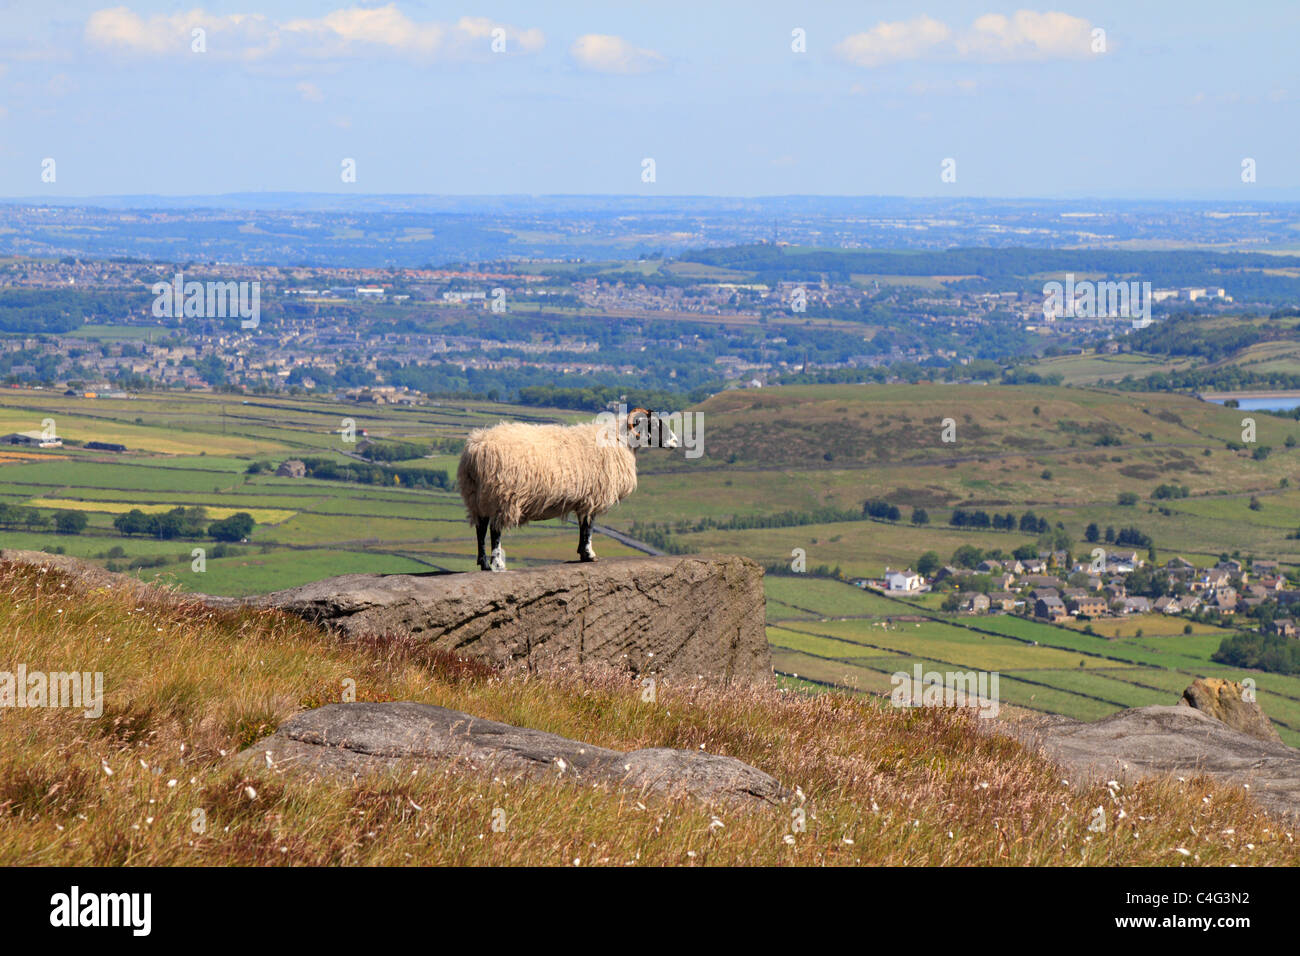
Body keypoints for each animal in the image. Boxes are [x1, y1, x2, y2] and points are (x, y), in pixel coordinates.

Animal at [458, 406, 679, 571]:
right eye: (654, 424)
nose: (676, 442)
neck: (620, 440)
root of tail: (476, 449)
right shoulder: (594, 495)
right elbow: (589, 527)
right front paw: (590, 555)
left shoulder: (586, 498)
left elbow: (583, 526)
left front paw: (582, 553)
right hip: (502, 495)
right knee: (495, 530)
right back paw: (497, 564)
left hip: (477, 497)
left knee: (480, 528)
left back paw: (484, 564)